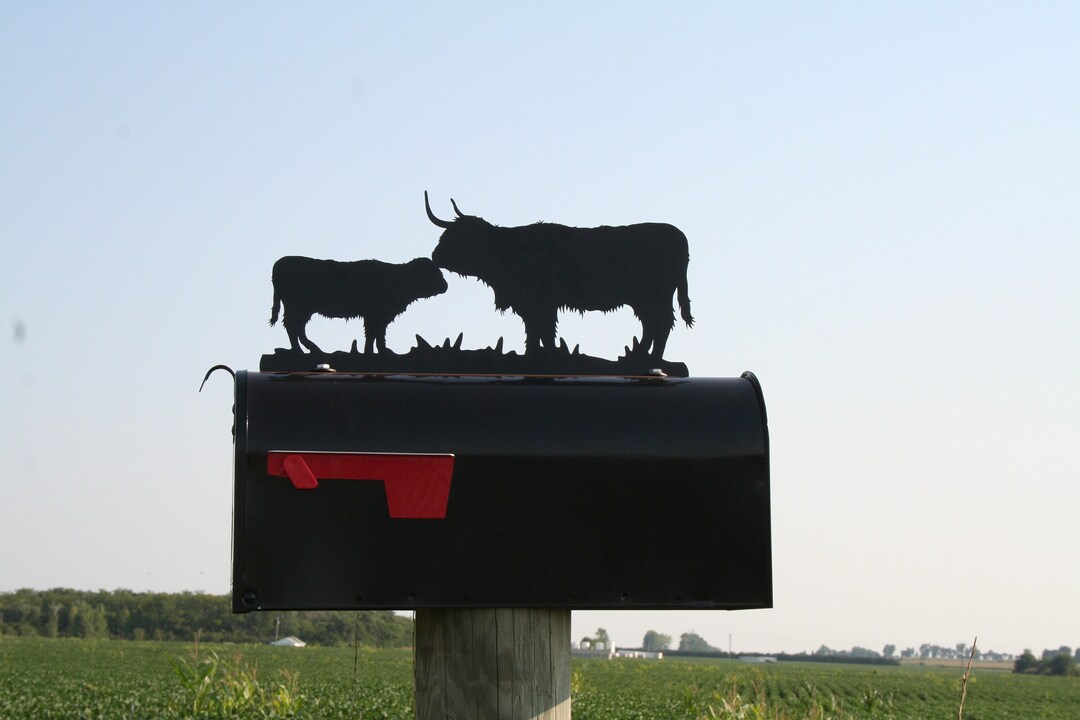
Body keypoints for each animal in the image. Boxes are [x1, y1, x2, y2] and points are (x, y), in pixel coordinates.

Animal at [270, 256, 448, 354]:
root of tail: (280, 263)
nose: (445, 286)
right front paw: (381, 351)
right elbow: (376, 334)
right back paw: (302, 350)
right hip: (298, 307)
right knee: (293, 326)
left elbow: (373, 335)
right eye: (433, 273)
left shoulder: (374, 316)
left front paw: (373, 351)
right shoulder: (377, 315)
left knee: (296, 327)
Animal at [425, 192, 693, 359]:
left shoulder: (541, 303)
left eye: (459, 238)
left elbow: (543, 332)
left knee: (660, 324)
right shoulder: (533, 305)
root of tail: (677, 235)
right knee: (653, 325)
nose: (435, 256)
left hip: (653, 296)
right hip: (646, 299)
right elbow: (537, 332)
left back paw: (649, 359)